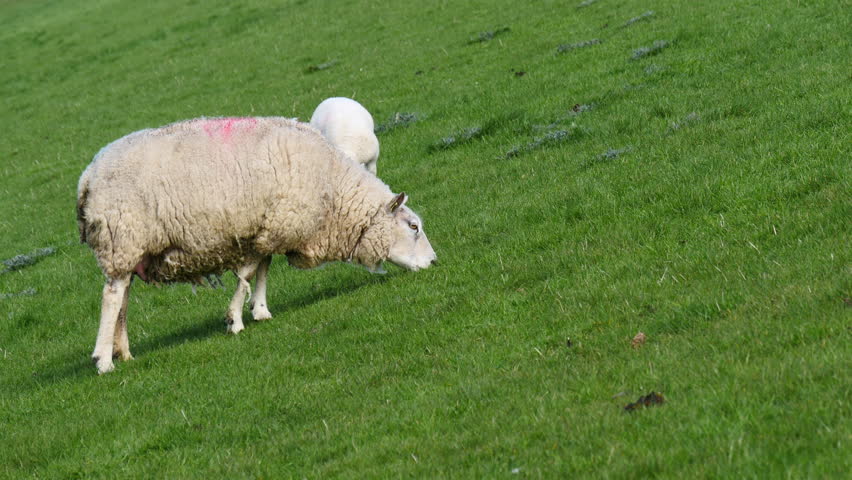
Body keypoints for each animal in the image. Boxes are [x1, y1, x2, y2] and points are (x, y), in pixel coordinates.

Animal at [77, 116, 437, 374]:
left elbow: (263, 270)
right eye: (414, 227)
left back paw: (123, 351)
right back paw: (103, 360)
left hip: (130, 249)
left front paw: (260, 310)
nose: (434, 263)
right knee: (111, 298)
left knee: (122, 297)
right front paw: (235, 319)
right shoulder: (269, 228)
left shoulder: (268, 229)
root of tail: (88, 176)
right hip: (122, 235)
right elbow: (248, 274)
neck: (333, 192)